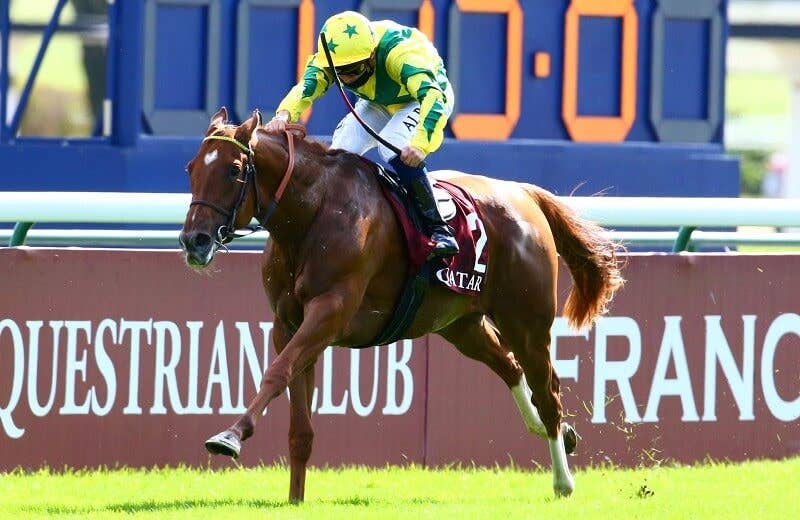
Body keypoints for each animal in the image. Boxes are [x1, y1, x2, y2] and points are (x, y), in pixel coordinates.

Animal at [179, 107, 624, 501]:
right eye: (191, 168)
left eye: (234, 170)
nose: (194, 241)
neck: (312, 214)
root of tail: (524, 194)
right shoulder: (287, 323)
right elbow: (298, 420)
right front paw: (295, 499)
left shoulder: (330, 311)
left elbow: (276, 373)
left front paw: (229, 436)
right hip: (459, 324)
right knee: (510, 367)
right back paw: (558, 434)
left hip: (526, 321)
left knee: (548, 390)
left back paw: (563, 479)